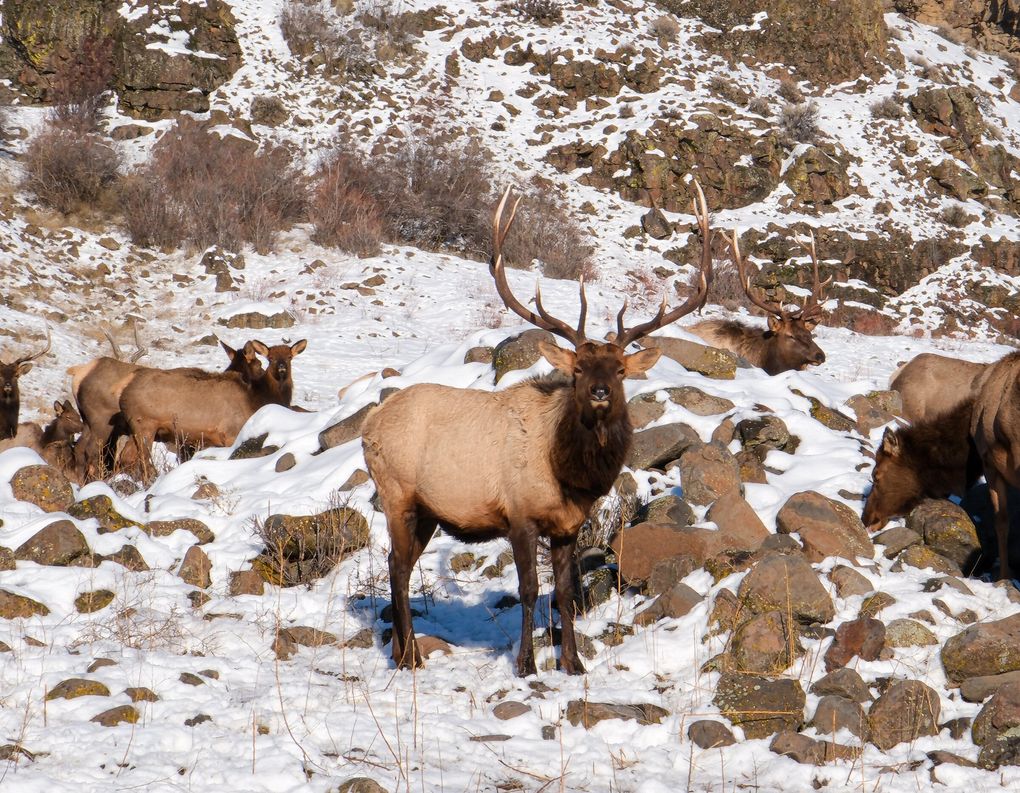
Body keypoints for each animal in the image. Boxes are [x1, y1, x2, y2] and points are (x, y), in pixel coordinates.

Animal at [117, 339, 306, 480]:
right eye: (268, 359)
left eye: (290, 357)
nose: (282, 368)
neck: (256, 399)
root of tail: (124, 393)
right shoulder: (230, 433)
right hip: (145, 425)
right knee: (141, 459)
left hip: (136, 429)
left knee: (126, 457)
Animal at [361, 183, 713, 676]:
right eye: (579, 367)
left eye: (620, 370)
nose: (600, 391)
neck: (569, 475)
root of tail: (369, 423)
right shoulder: (519, 514)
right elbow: (528, 589)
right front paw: (526, 663)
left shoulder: (568, 525)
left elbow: (564, 592)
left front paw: (574, 663)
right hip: (396, 493)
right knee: (396, 566)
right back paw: (409, 656)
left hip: (428, 509)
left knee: (404, 564)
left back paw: (401, 651)